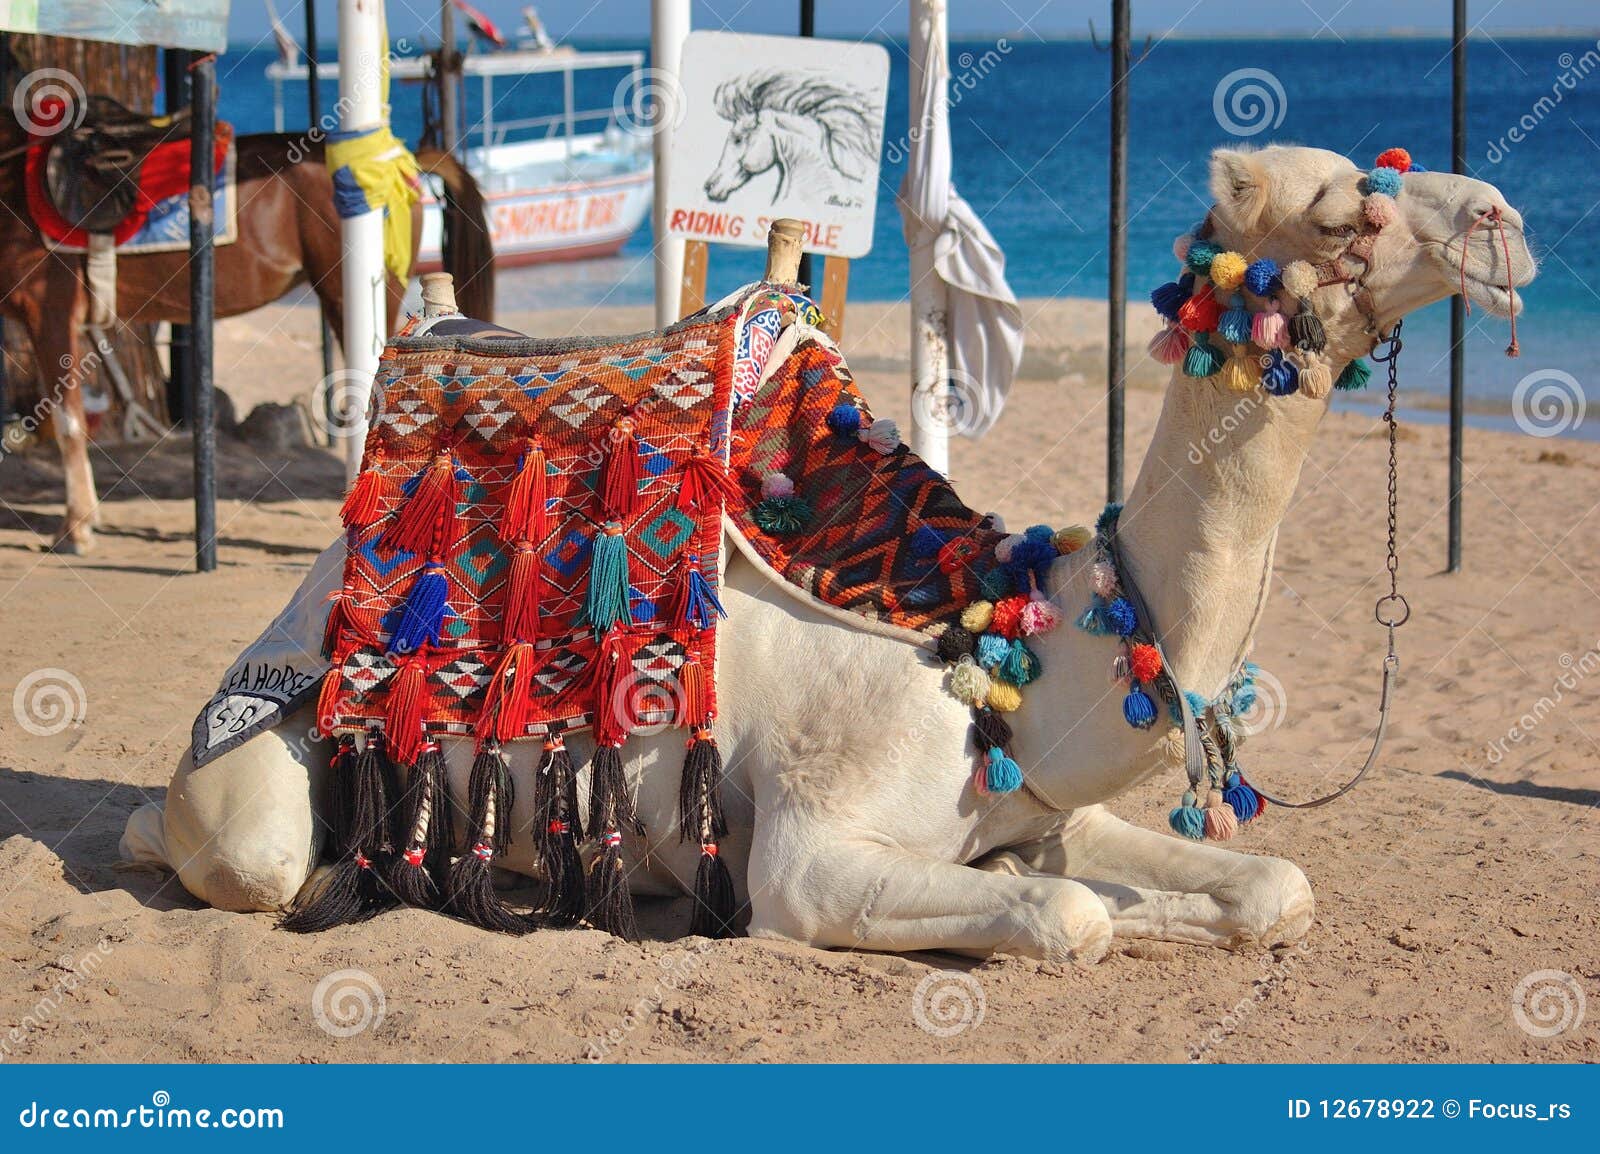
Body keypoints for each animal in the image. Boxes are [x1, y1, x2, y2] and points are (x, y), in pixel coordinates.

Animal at [121, 146, 1534, 962]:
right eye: (1347, 214)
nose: (1502, 218)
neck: (1013, 647)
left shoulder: (1032, 807)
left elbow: (1267, 885)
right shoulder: (812, 851)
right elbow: (1068, 917)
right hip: (260, 775)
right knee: (244, 848)